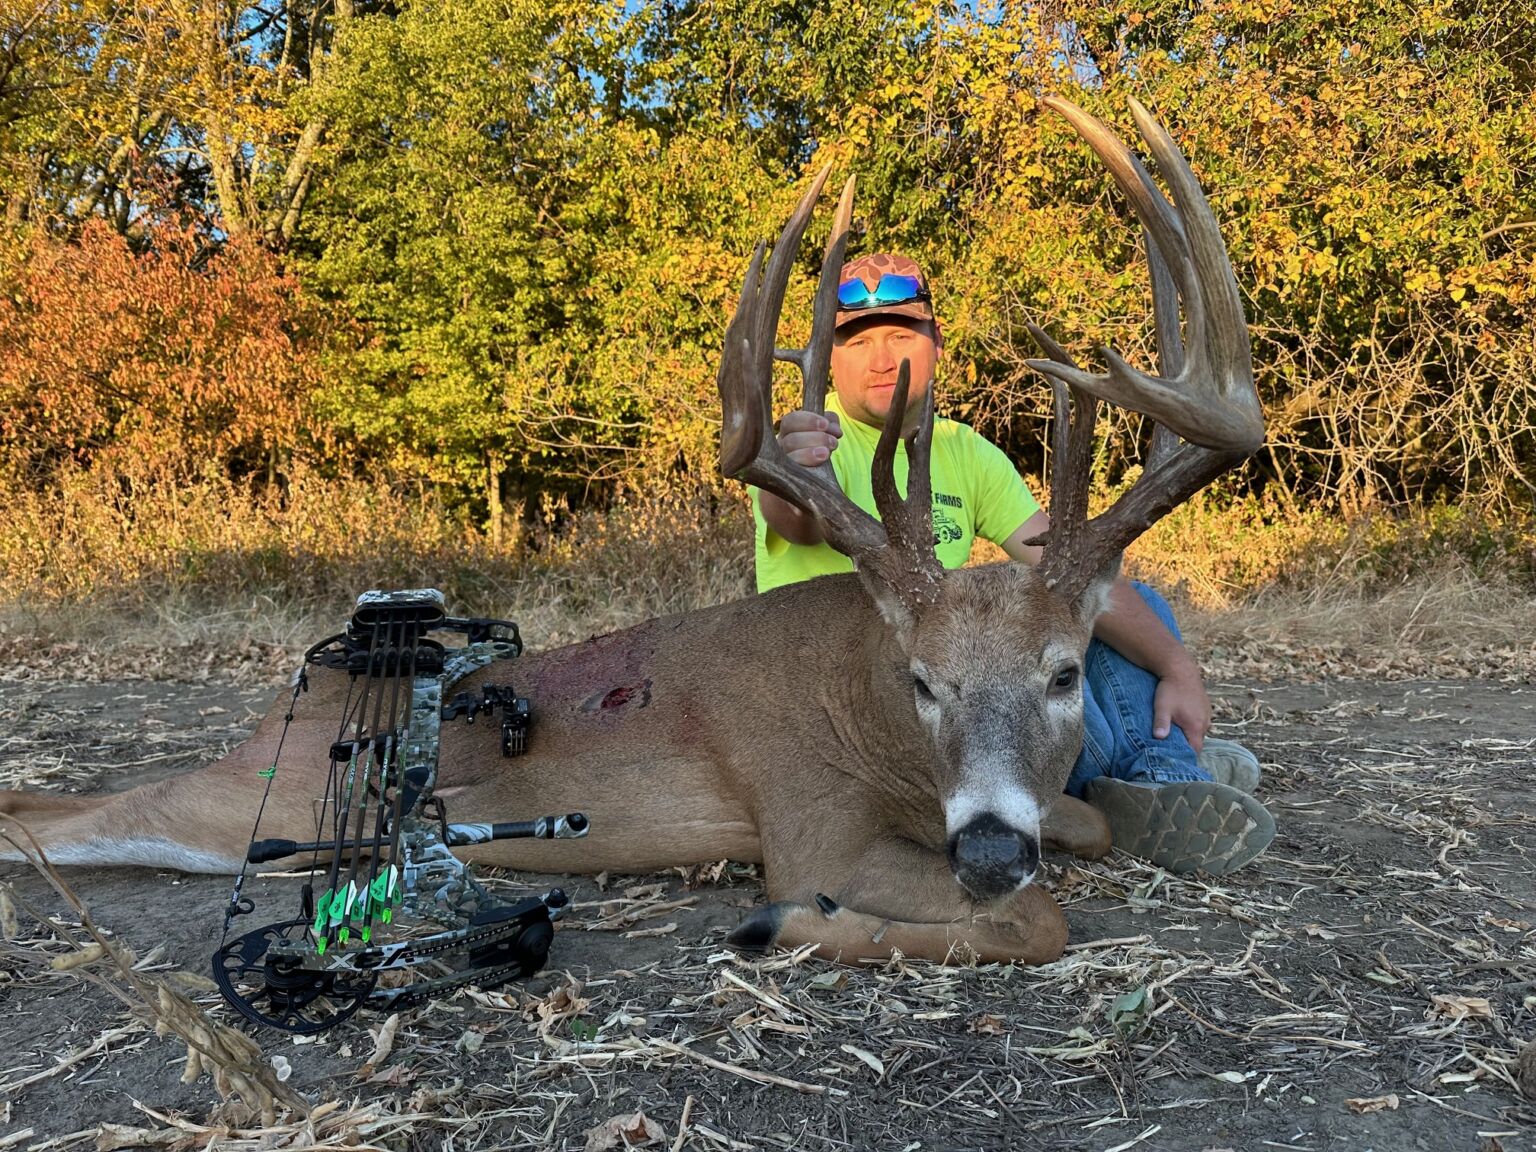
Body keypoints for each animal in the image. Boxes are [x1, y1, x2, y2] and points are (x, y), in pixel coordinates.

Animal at [0, 96, 1264, 966]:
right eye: (923, 680)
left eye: (1064, 672)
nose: (990, 845)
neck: (870, 715)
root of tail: (289, 706)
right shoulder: (806, 817)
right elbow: (1038, 916)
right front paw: (787, 921)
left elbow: (1087, 827)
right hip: (252, 798)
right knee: (65, 816)